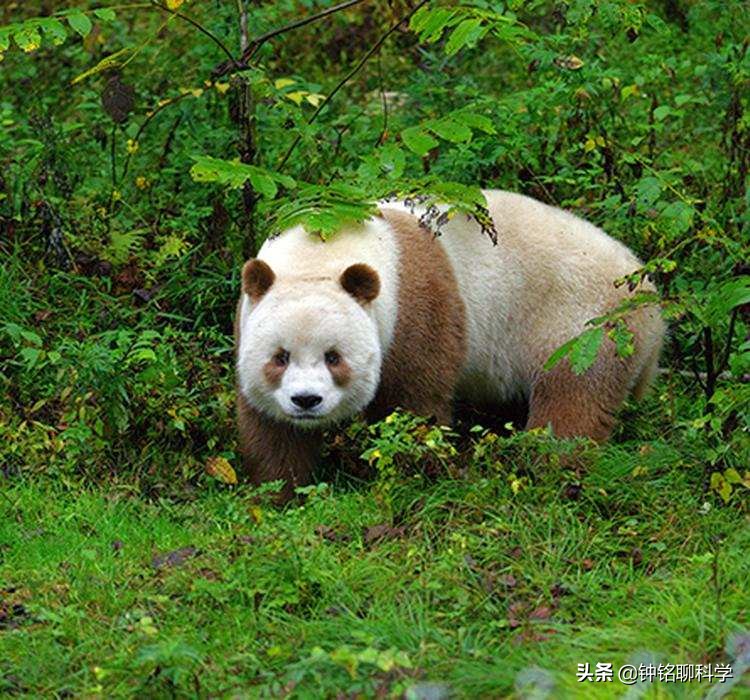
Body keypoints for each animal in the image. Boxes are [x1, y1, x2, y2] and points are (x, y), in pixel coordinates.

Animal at [235, 190, 665, 499]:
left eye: (334, 358)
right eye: (280, 358)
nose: (307, 401)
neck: (322, 249)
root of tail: (649, 292)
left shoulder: (411, 308)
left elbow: (414, 402)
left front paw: (416, 475)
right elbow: (271, 427)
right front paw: (281, 489)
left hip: (580, 328)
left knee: (571, 402)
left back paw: (550, 468)